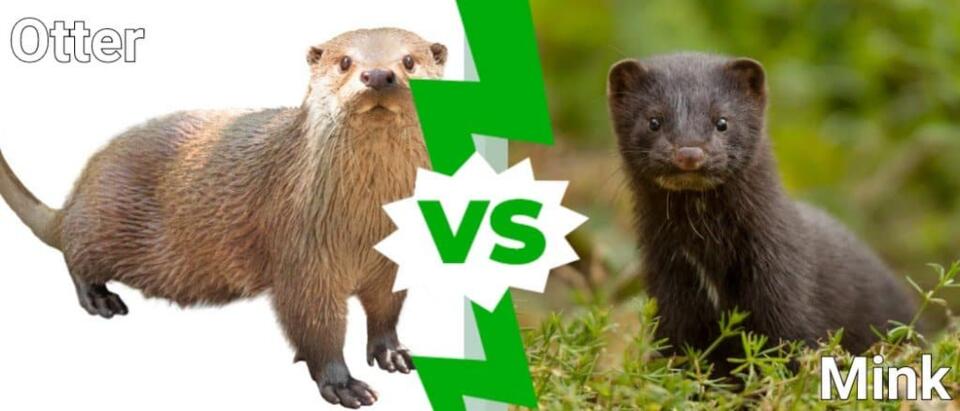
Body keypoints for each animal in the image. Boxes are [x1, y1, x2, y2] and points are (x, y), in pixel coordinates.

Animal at [0, 28, 447, 408]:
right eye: (345, 62)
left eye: (409, 61)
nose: (378, 74)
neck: (366, 225)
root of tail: (79, 193)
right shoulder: (302, 255)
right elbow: (315, 324)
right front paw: (341, 383)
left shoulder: (399, 258)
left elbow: (386, 308)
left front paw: (392, 352)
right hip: (104, 222)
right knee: (75, 254)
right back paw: (99, 297)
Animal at [606, 53, 916, 375]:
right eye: (654, 120)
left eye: (722, 121)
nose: (689, 153)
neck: (708, 255)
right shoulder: (669, 289)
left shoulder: (785, 288)